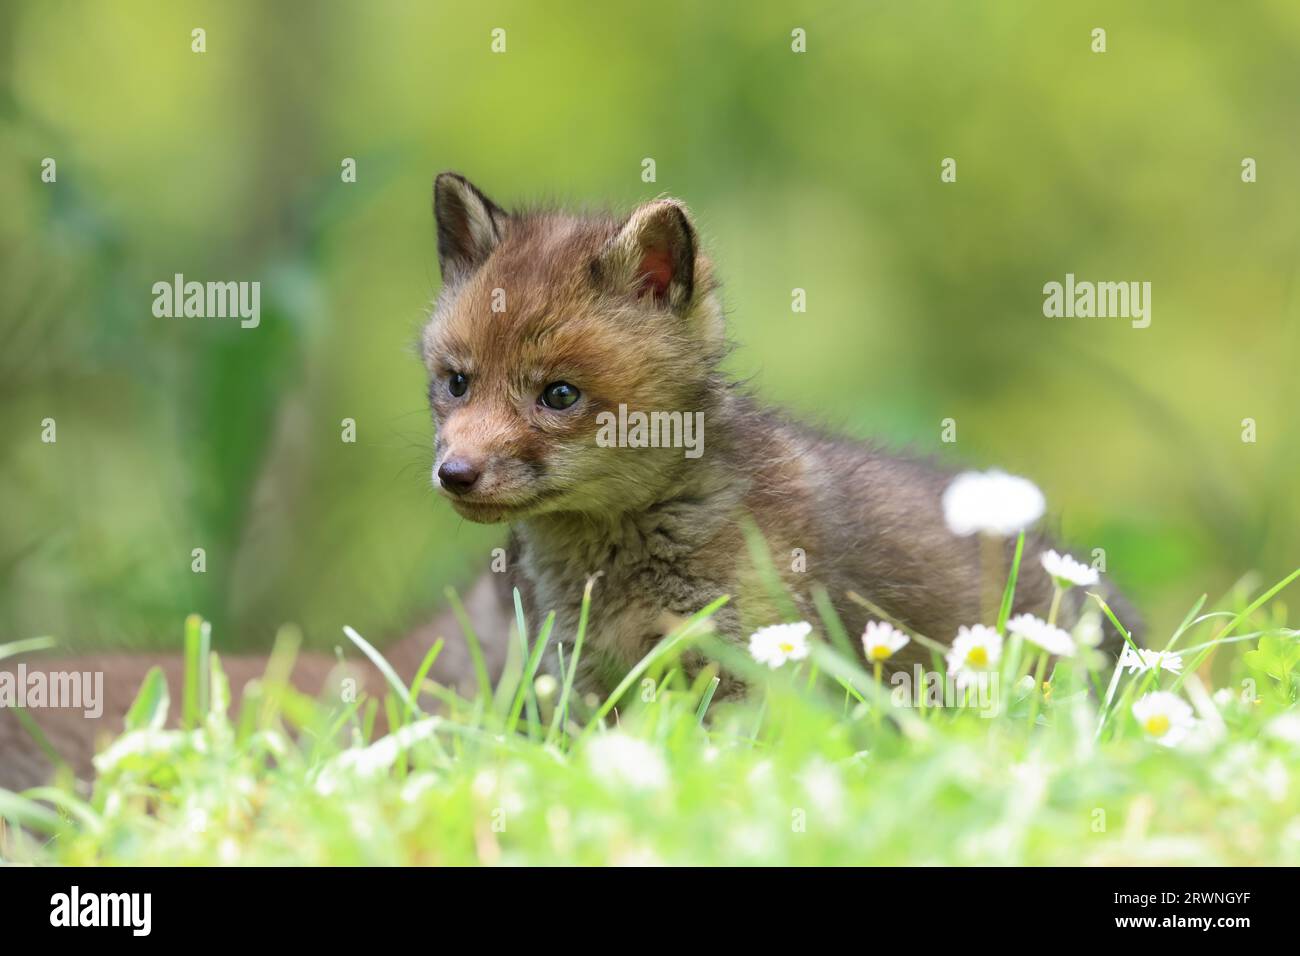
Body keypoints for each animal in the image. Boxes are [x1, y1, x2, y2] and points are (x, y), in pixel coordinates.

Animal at [0, 172, 1135, 792]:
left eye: (558, 393)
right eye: (455, 381)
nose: (455, 471)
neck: (620, 557)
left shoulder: (748, 670)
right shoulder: (584, 682)